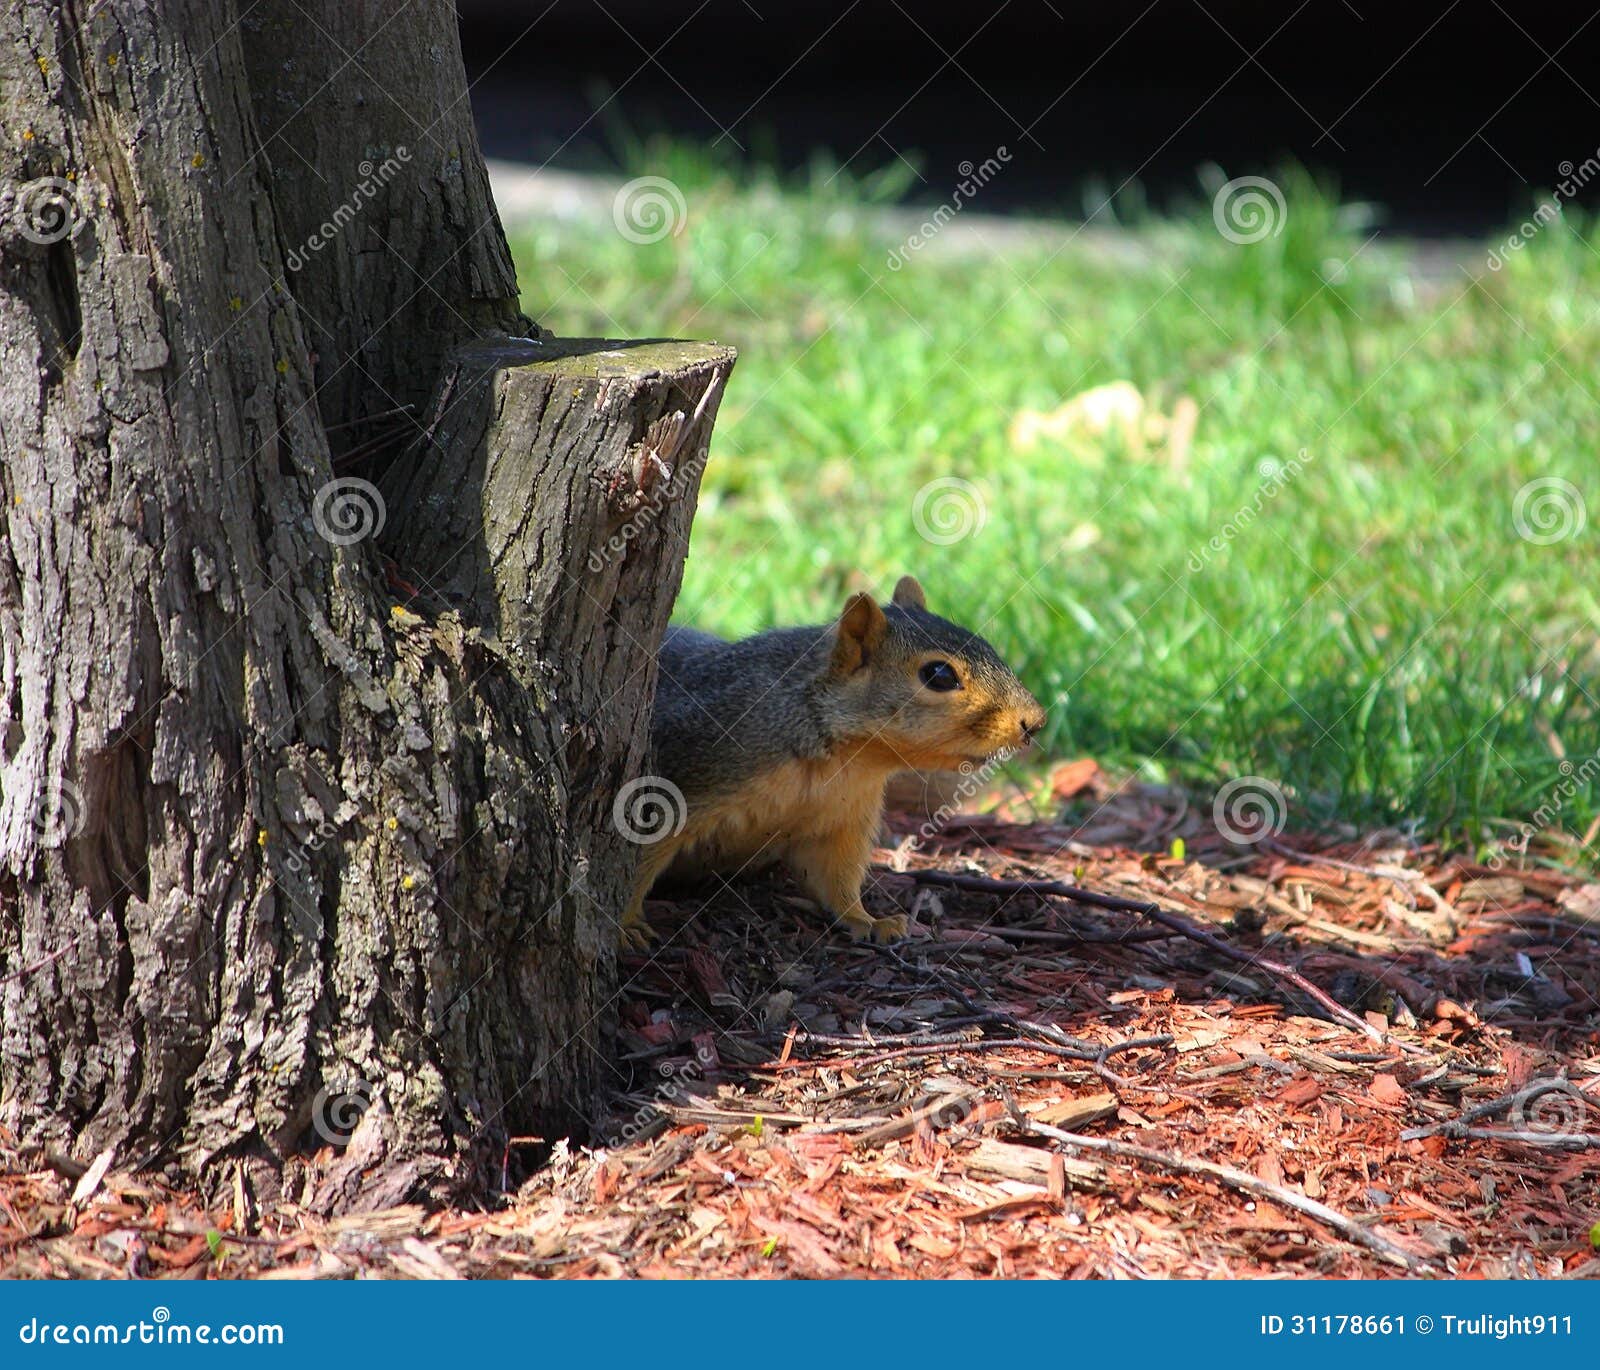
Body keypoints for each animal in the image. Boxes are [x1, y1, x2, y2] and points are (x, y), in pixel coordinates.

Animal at [619, 575, 1045, 949]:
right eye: (938, 674)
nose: (1035, 722)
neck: (846, 758)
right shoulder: (688, 772)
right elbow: (638, 860)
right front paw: (624, 925)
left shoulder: (842, 819)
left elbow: (833, 878)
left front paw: (867, 920)